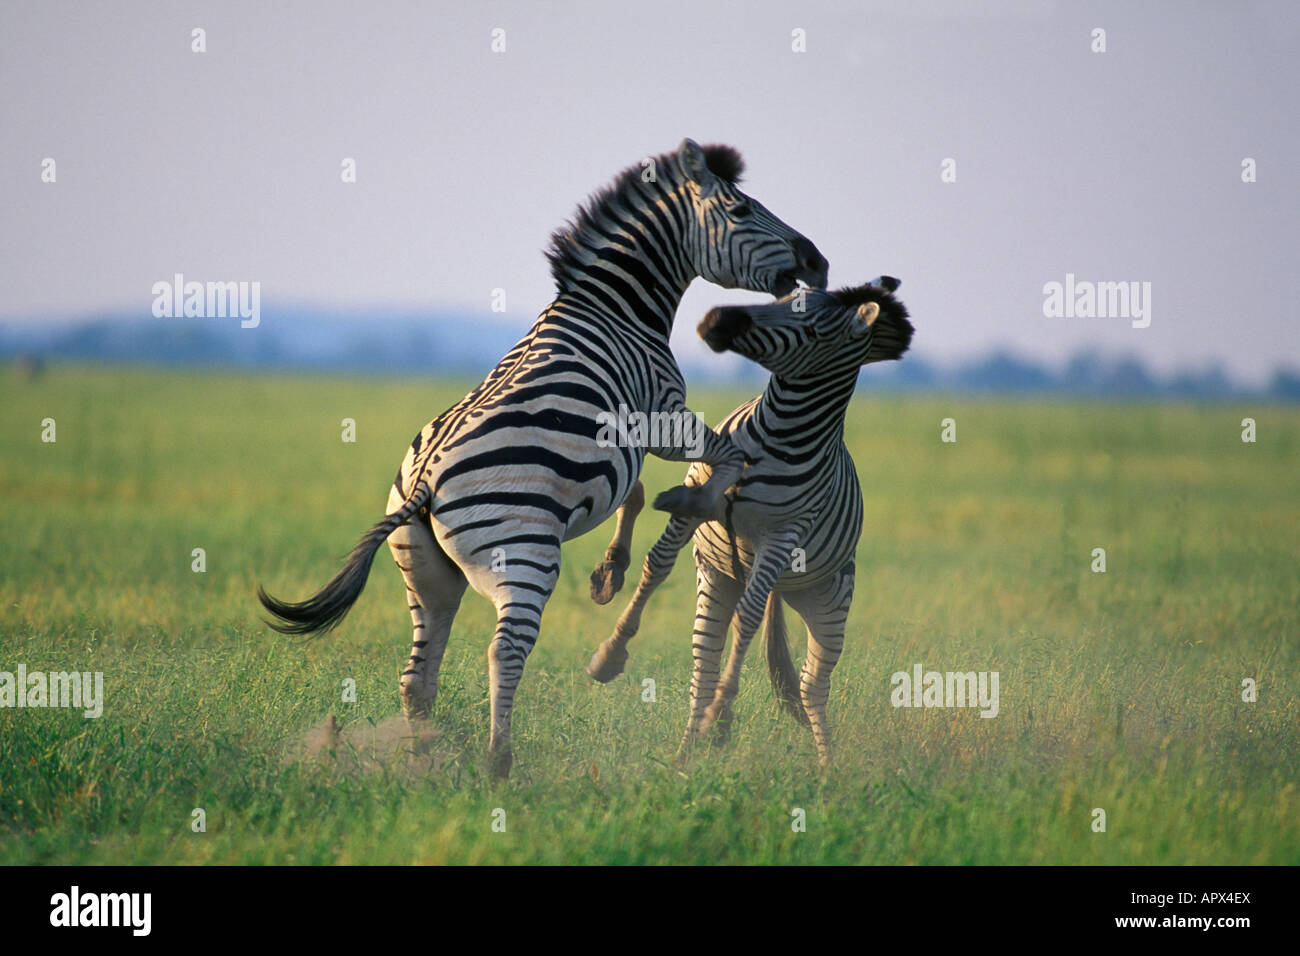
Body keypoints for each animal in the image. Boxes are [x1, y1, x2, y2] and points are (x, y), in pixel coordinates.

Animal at [256, 139, 829, 778]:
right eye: (740, 210)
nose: (819, 261)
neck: (617, 308)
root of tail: (424, 483)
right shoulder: (661, 413)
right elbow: (721, 460)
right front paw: (687, 505)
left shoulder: (622, 440)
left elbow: (633, 491)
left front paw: (610, 570)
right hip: (526, 555)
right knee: (504, 650)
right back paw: (498, 763)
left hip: (427, 576)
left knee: (417, 676)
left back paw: (425, 762)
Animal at [585, 278, 912, 765]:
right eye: (783, 298)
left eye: (814, 329)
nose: (716, 318)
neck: (777, 434)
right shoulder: (697, 491)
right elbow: (657, 564)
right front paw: (610, 652)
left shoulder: (782, 536)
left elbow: (751, 617)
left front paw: (724, 707)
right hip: (720, 578)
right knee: (704, 667)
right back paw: (685, 755)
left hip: (828, 600)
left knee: (811, 686)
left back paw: (826, 768)